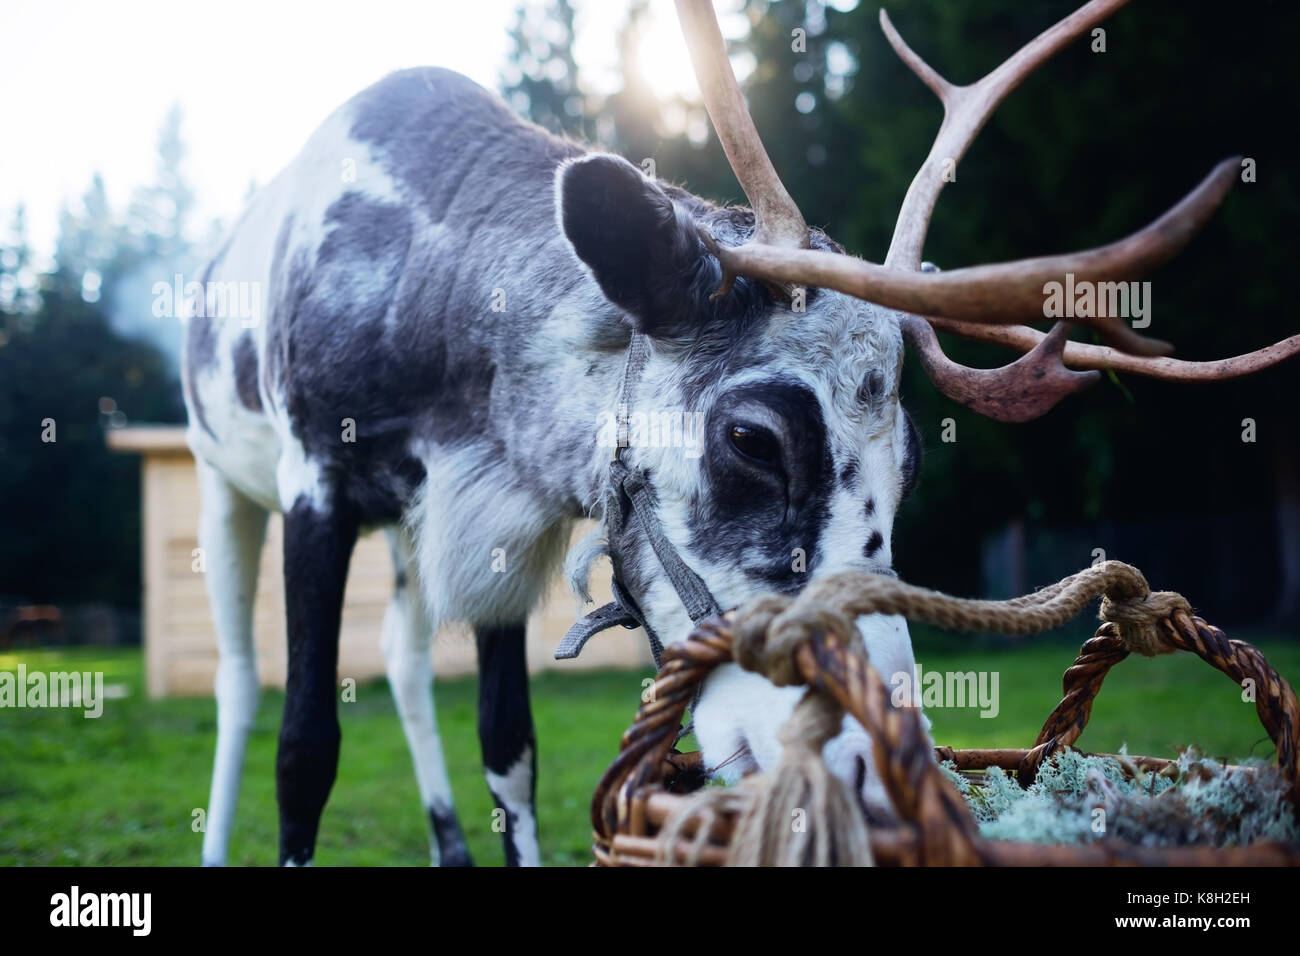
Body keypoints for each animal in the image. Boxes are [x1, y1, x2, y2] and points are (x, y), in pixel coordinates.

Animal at [181, 0, 1299, 866]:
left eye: (913, 464)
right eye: (755, 440)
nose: (869, 769)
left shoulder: (497, 532)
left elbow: (510, 747)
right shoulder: (315, 484)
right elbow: (305, 746)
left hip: (407, 546)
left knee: (406, 660)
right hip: (223, 485)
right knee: (238, 684)